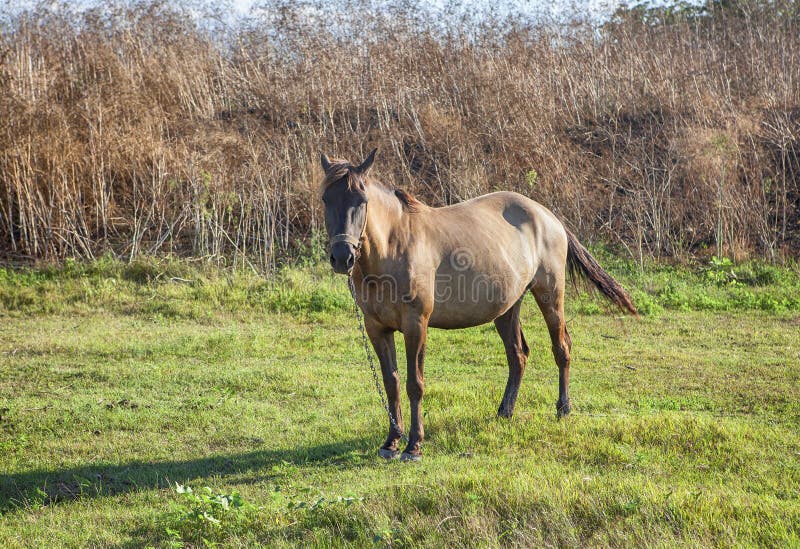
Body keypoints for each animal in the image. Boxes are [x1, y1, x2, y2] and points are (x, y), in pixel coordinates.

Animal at [320, 149, 637, 461]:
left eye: (362, 201)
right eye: (326, 199)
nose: (343, 257)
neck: (394, 247)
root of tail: (548, 216)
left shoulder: (416, 325)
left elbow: (414, 384)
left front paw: (414, 445)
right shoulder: (376, 328)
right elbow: (391, 383)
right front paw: (391, 442)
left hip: (550, 295)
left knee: (561, 348)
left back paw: (563, 409)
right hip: (507, 309)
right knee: (518, 355)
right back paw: (505, 412)